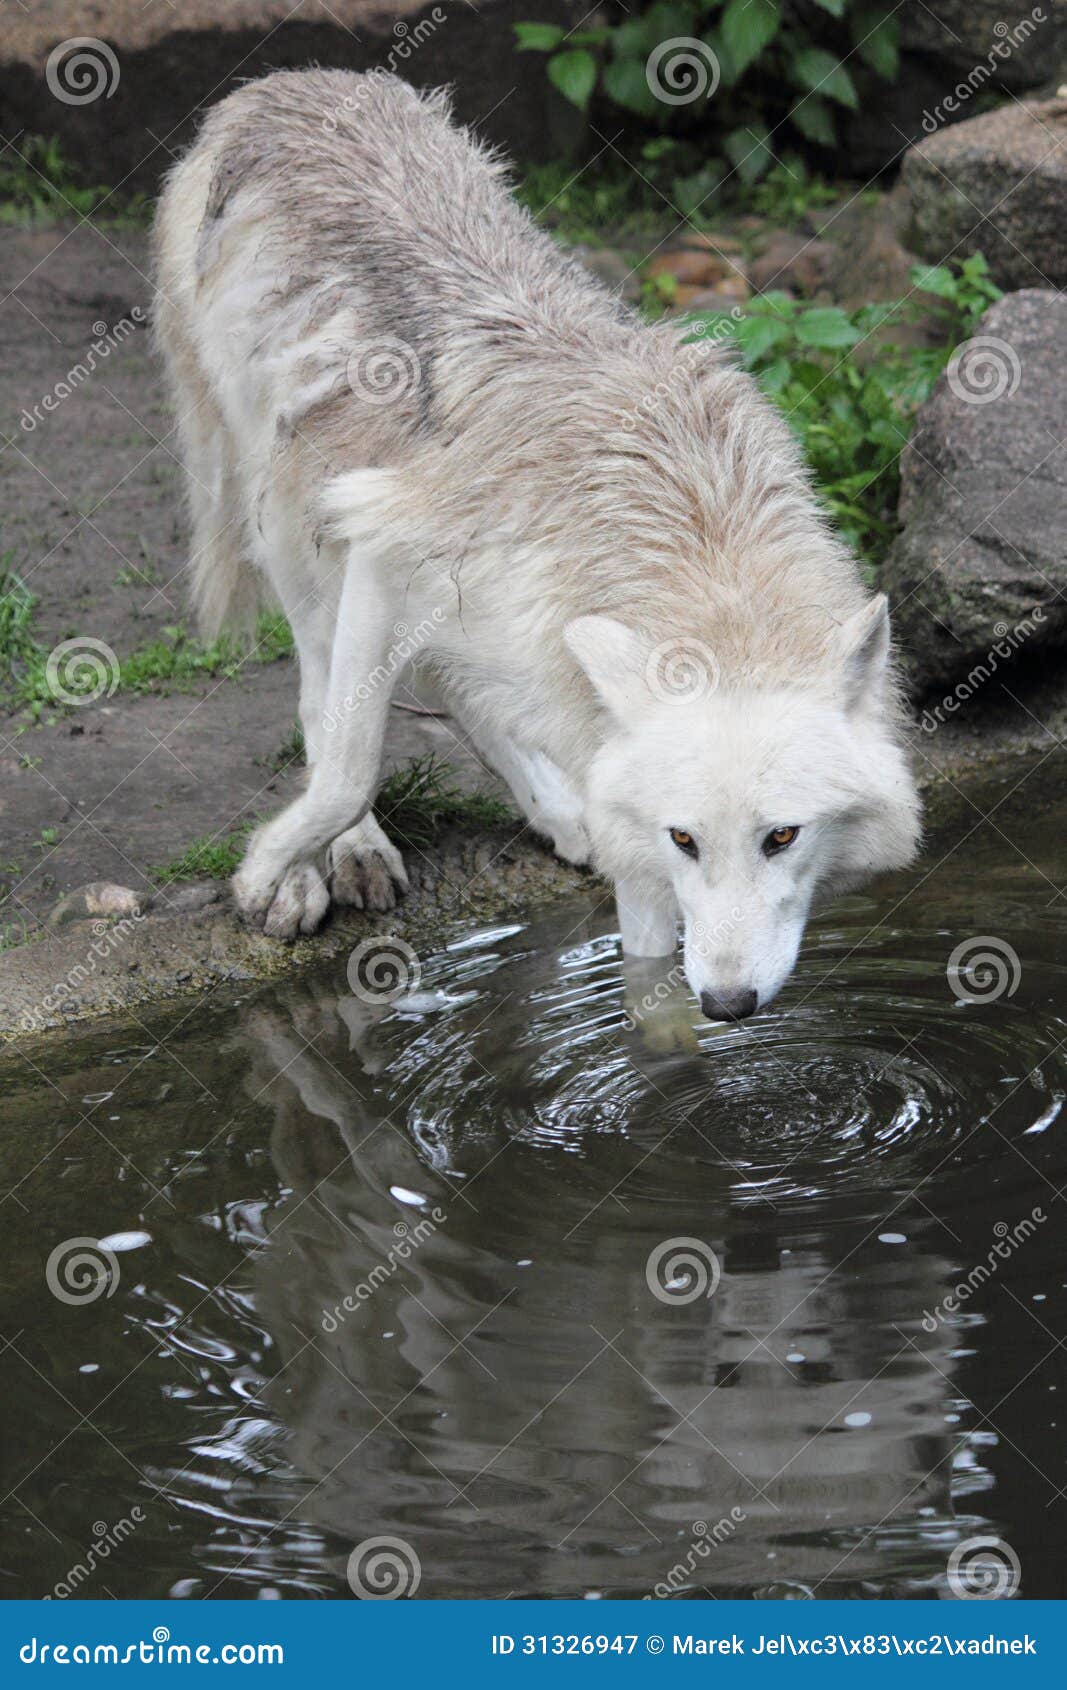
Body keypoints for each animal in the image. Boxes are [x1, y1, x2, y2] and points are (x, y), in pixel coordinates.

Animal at [153, 68, 920, 1020]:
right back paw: (344, 856)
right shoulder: (383, 546)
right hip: (290, 513)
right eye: (685, 838)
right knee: (319, 691)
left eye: (782, 836)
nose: (727, 1003)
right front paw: (268, 876)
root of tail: (283, 85)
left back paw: (559, 813)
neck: (674, 516)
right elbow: (349, 761)